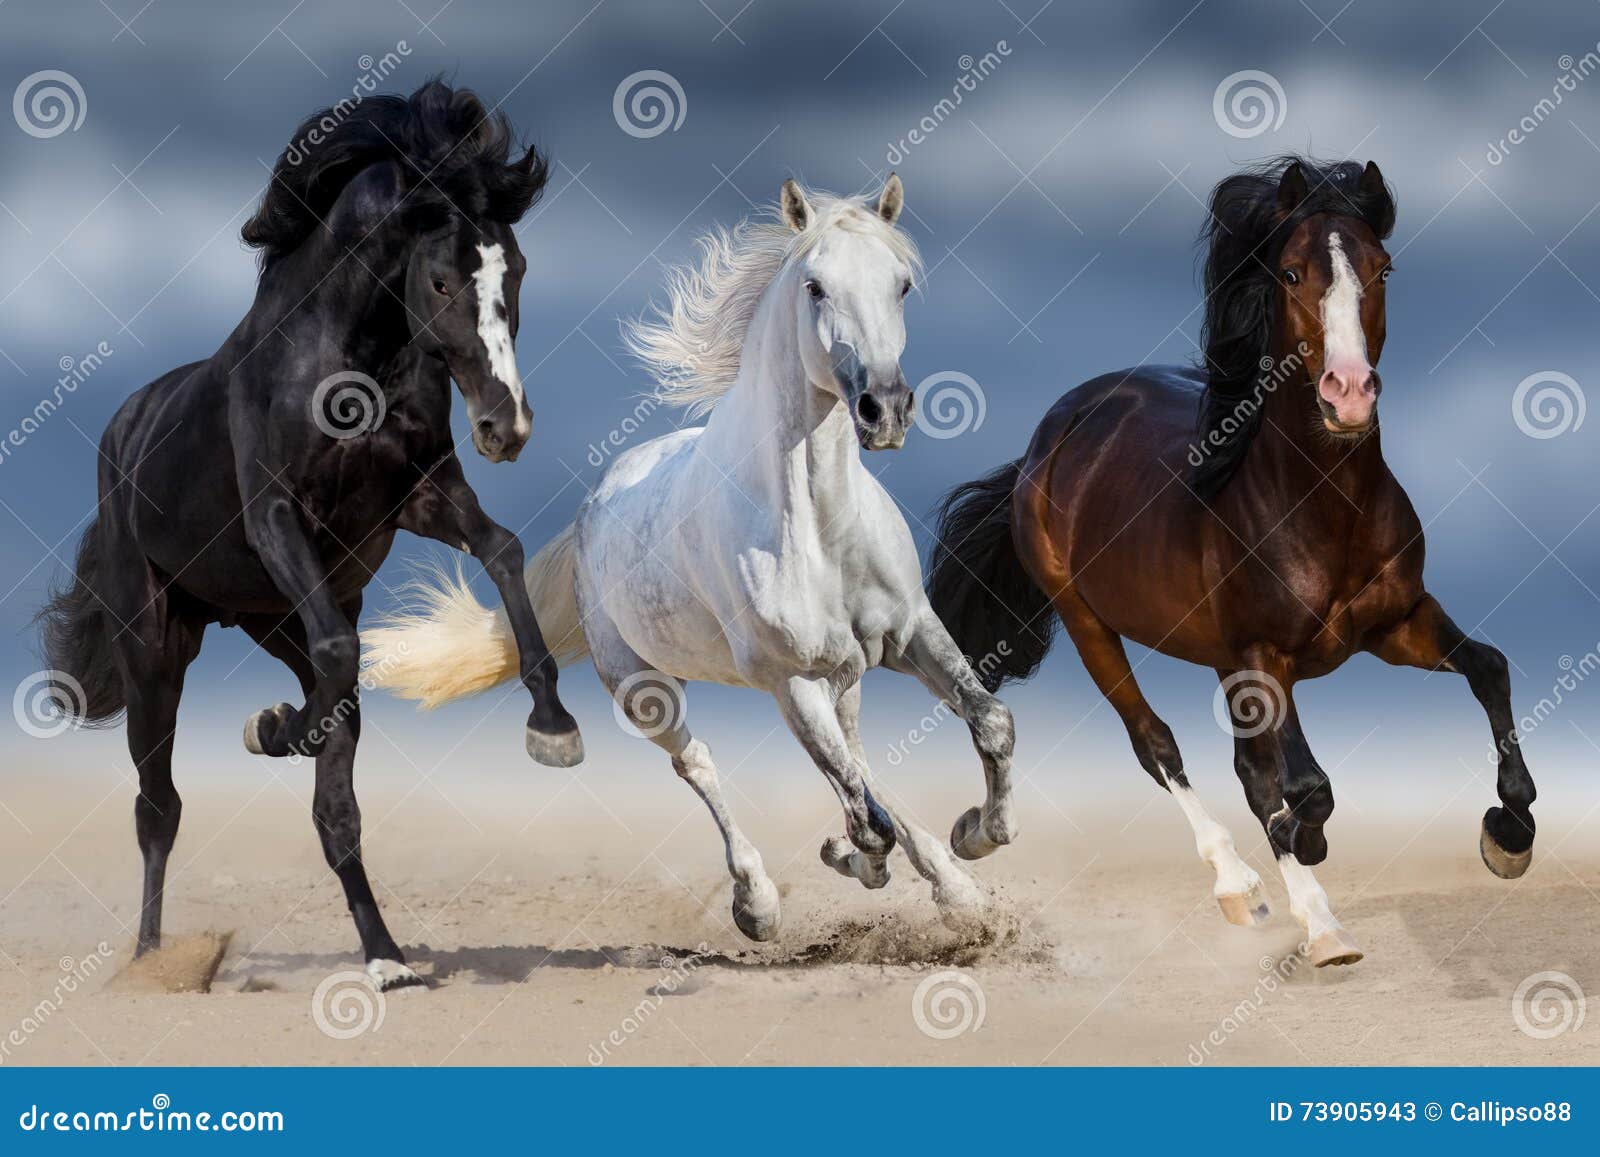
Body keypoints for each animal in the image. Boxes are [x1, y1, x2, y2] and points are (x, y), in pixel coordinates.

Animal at [35, 80, 583, 991]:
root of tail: (126, 429)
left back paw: (386, 955)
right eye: (440, 278)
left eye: (518, 273)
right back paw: (152, 960)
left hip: (269, 617)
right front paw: (273, 728)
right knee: (160, 805)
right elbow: (335, 659)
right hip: (154, 648)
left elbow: (501, 549)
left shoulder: (422, 495)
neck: (346, 362)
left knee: (335, 776)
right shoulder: (277, 517)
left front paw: (554, 723)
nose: (507, 427)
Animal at [363, 177, 1018, 938]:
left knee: (857, 758)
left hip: (845, 675)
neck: (819, 528)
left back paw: (952, 885)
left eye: (902, 284)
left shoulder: (910, 631)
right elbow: (865, 816)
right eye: (816, 287)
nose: (884, 408)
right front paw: (861, 859)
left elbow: (987, 723)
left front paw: (976, 836)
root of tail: (593, 507)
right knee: (701, 763)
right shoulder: (791, 680)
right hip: (645, 688)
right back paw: (758, 903)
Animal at [926, 156, 1537, 967]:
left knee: (1250, 773)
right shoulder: (1265, 655)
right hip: (1089, 624)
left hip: (1219, 654)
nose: (1348, 394)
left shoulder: (1398, 623)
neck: (1324, 507)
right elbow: (1306, 786)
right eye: (1290, 271)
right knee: (1159, 746)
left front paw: (1510, 835)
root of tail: (1048, 440)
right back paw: (1253, 894)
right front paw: (1309, 856)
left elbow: (1489, 669)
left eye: (1383, 268)